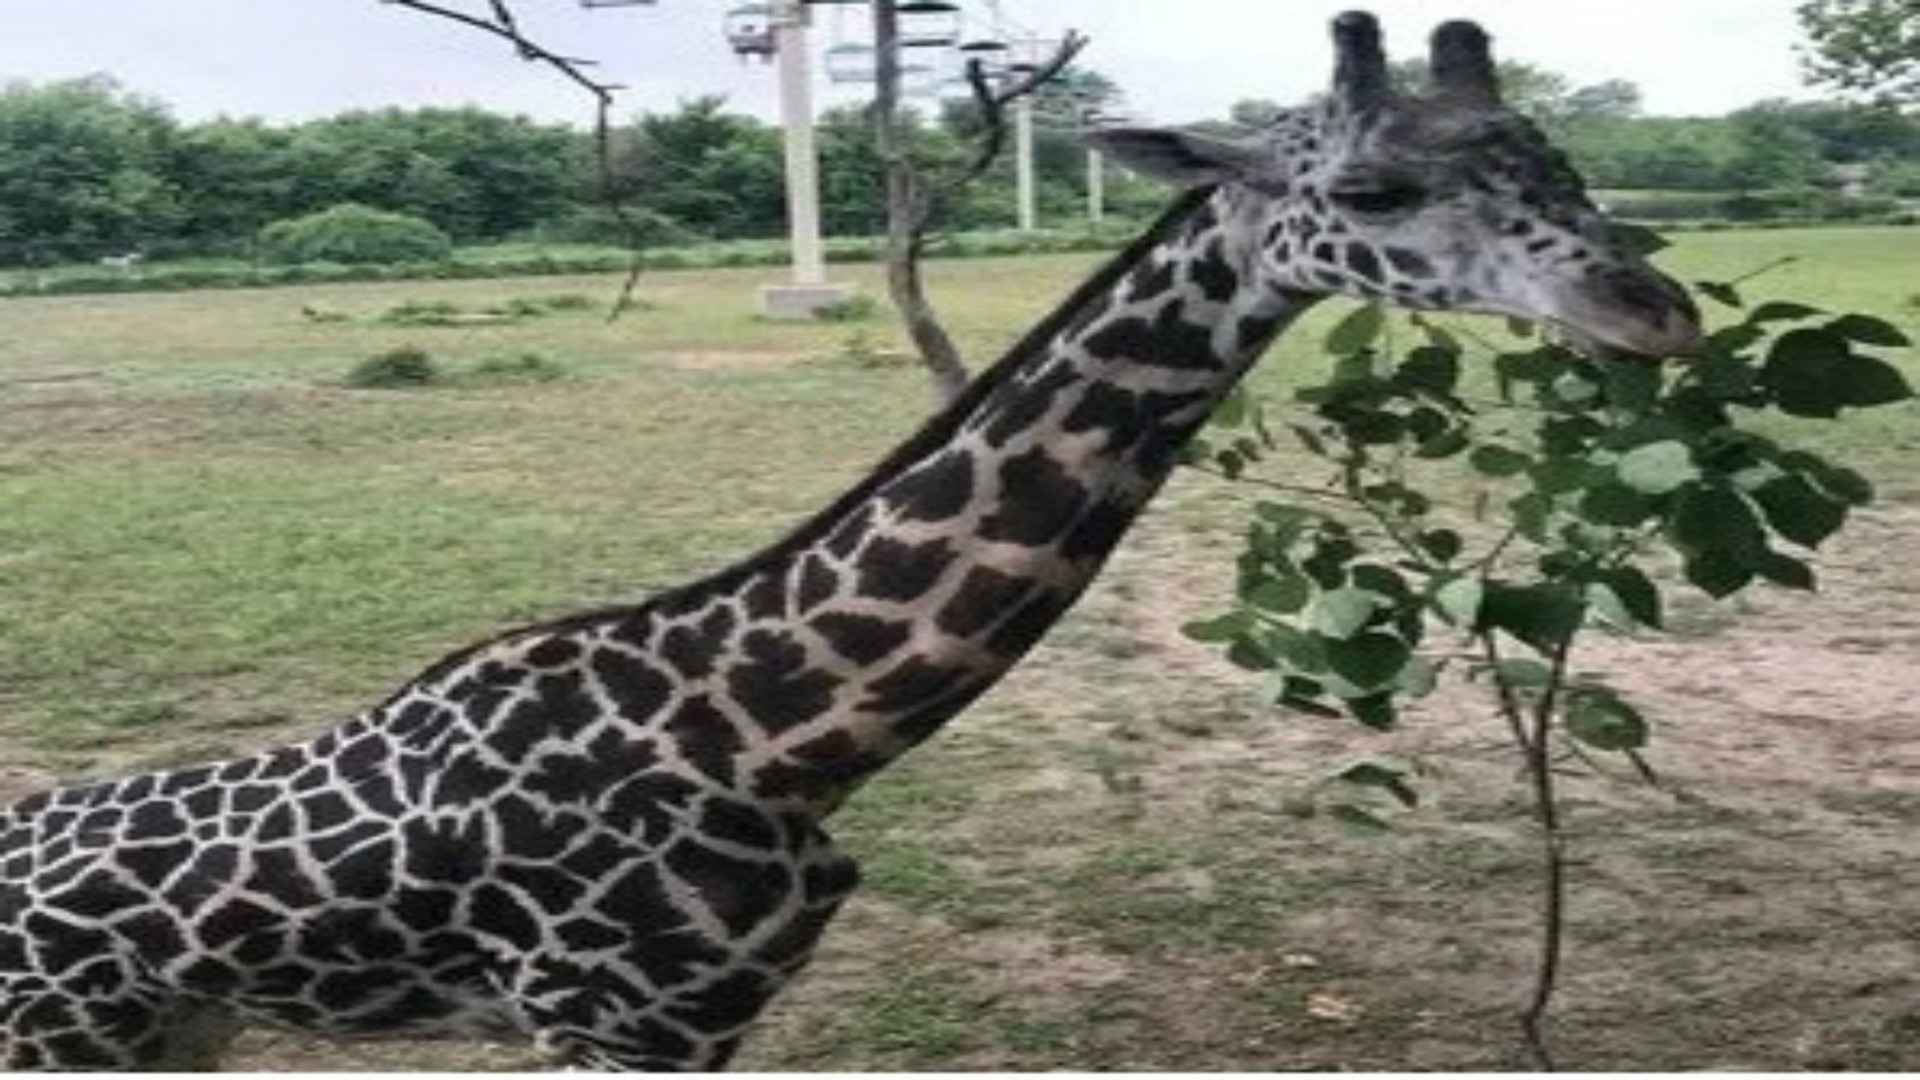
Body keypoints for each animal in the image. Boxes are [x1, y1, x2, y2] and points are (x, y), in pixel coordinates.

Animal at [0, 12, 1700, 1072]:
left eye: (1555, 158)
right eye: (1370, 186)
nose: (1653, 310)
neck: (774, 736)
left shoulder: (705, 1024)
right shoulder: (609, 1022)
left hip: (171, 1032)